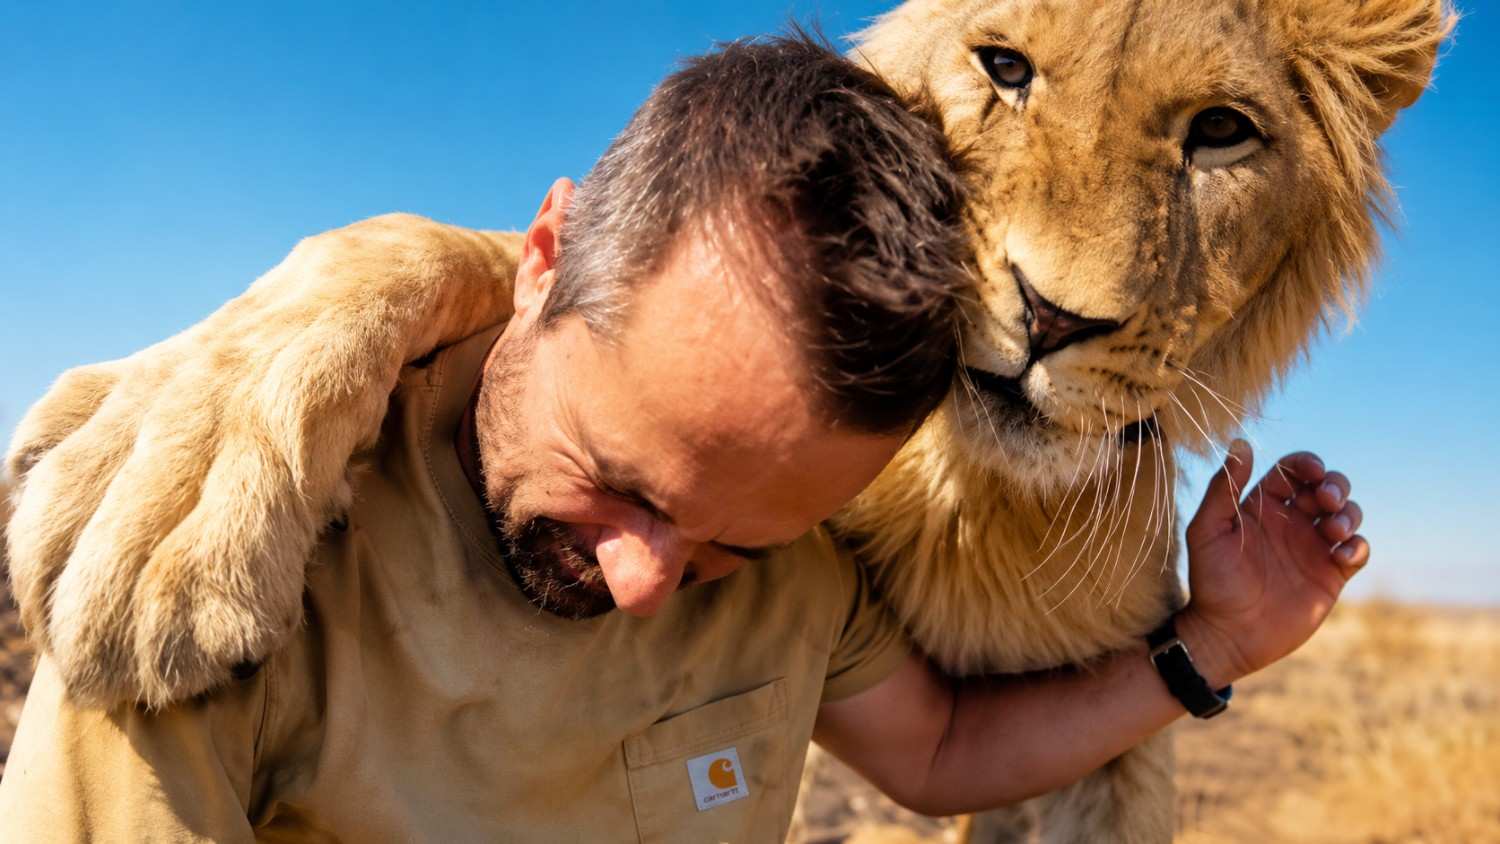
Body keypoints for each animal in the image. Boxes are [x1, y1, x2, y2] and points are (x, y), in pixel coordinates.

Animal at [4, 1, 1450, 842]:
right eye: (1005, 68)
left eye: (1223, 133)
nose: (1051, 318)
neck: (967, 482)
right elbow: (427, 242)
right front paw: (163, 516)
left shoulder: (1097, 700)